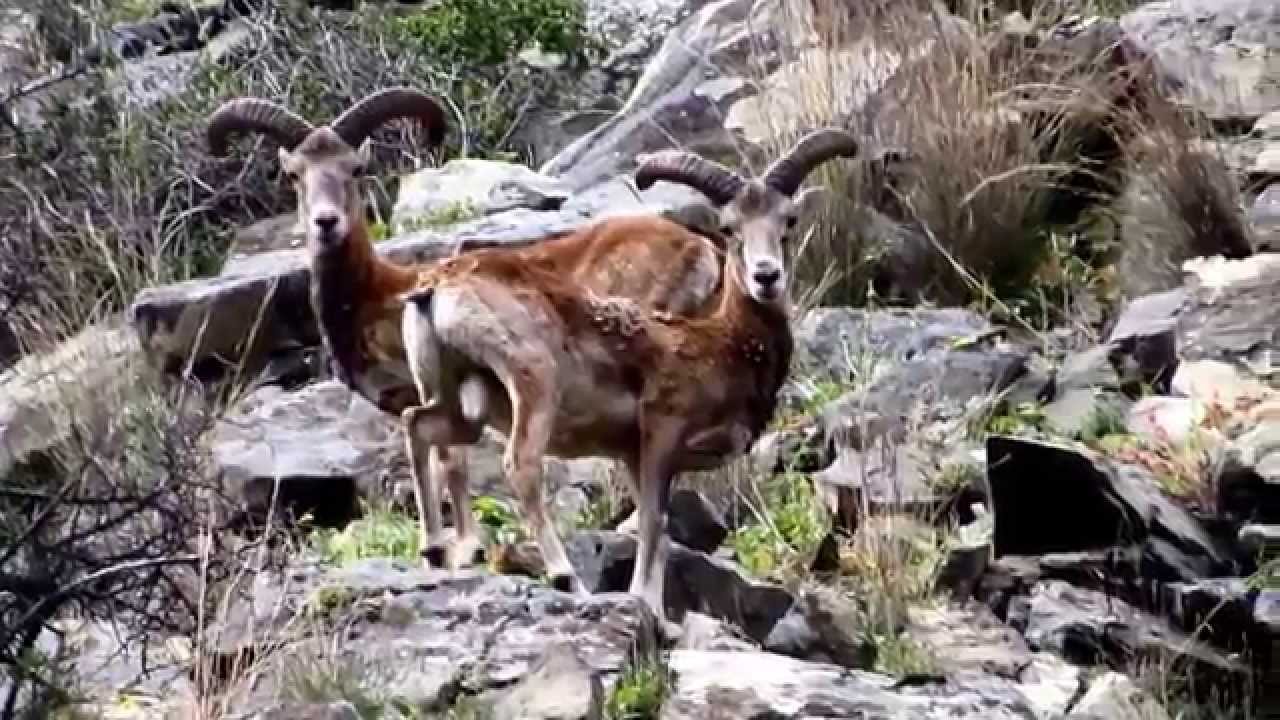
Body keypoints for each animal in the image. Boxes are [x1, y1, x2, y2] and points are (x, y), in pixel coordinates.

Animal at [203, 88, 726, 568]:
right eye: (296, 175)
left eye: (354, 169)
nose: (326, 223)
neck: (377, 294)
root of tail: (701, 251)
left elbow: (449, 464)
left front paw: (460, 548)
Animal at [397, 128, 865, 630]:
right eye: (729, 227)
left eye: (789, 220)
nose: (766, 276)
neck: (723, 342)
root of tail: (434, 290)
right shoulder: (660, 435)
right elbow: (653, 523)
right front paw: (649, 608)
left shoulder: (632, 455)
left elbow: (657, 529)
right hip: (534, 383)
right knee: (519, 464)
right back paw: (566, 578)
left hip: (458, 400)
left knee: (418, 423)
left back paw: (434, 552)